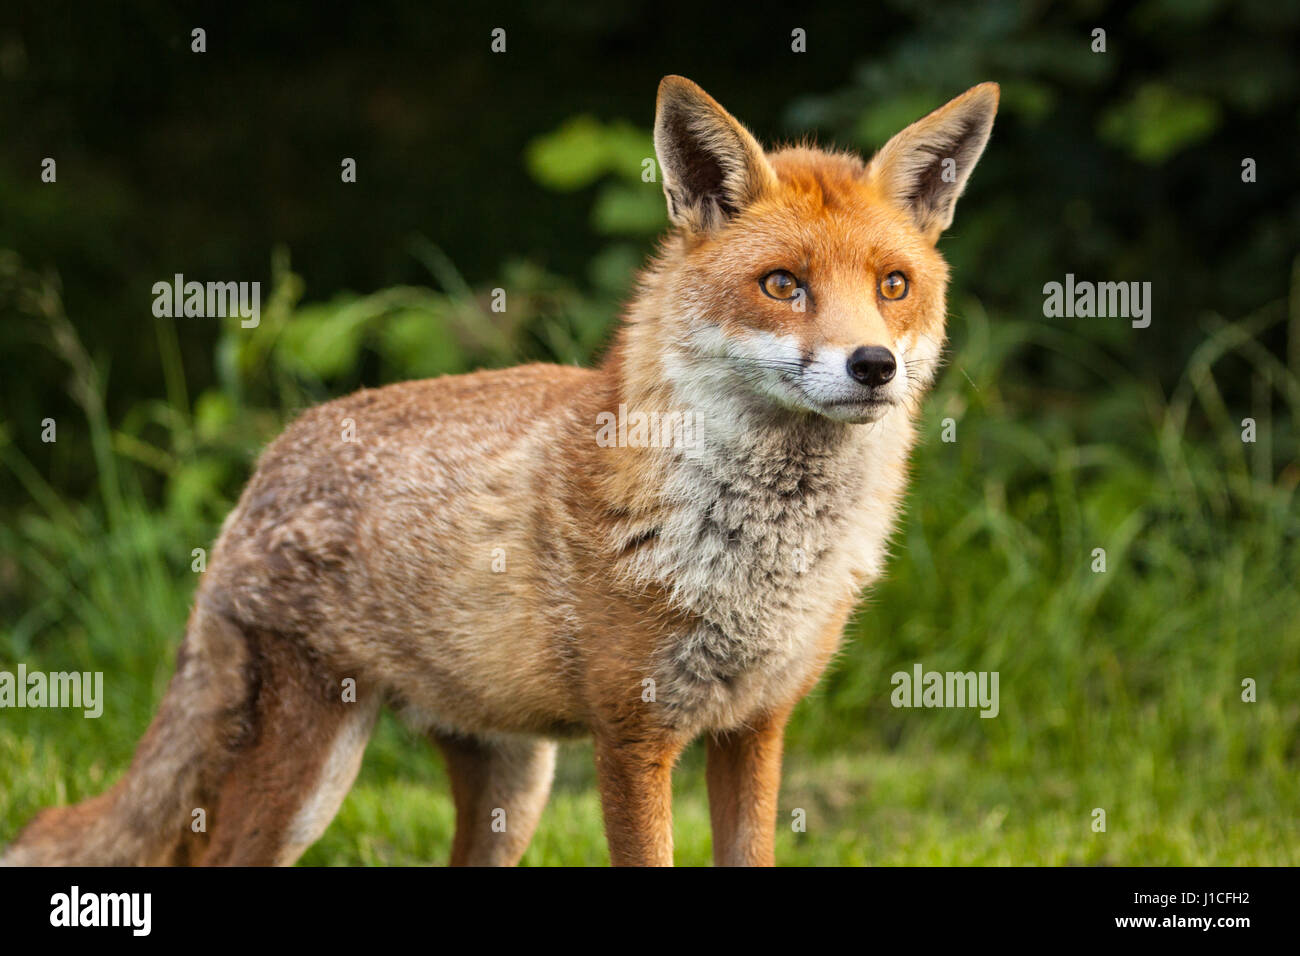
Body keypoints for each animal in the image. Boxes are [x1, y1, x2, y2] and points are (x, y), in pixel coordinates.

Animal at [3, 75, 998, 867]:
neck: (759, 558)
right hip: (311, 770)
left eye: (894, 286)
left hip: (512, 785)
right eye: (784, 285)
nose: (874, 365)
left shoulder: (755, 727)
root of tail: (275, 457)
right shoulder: (634, 736)